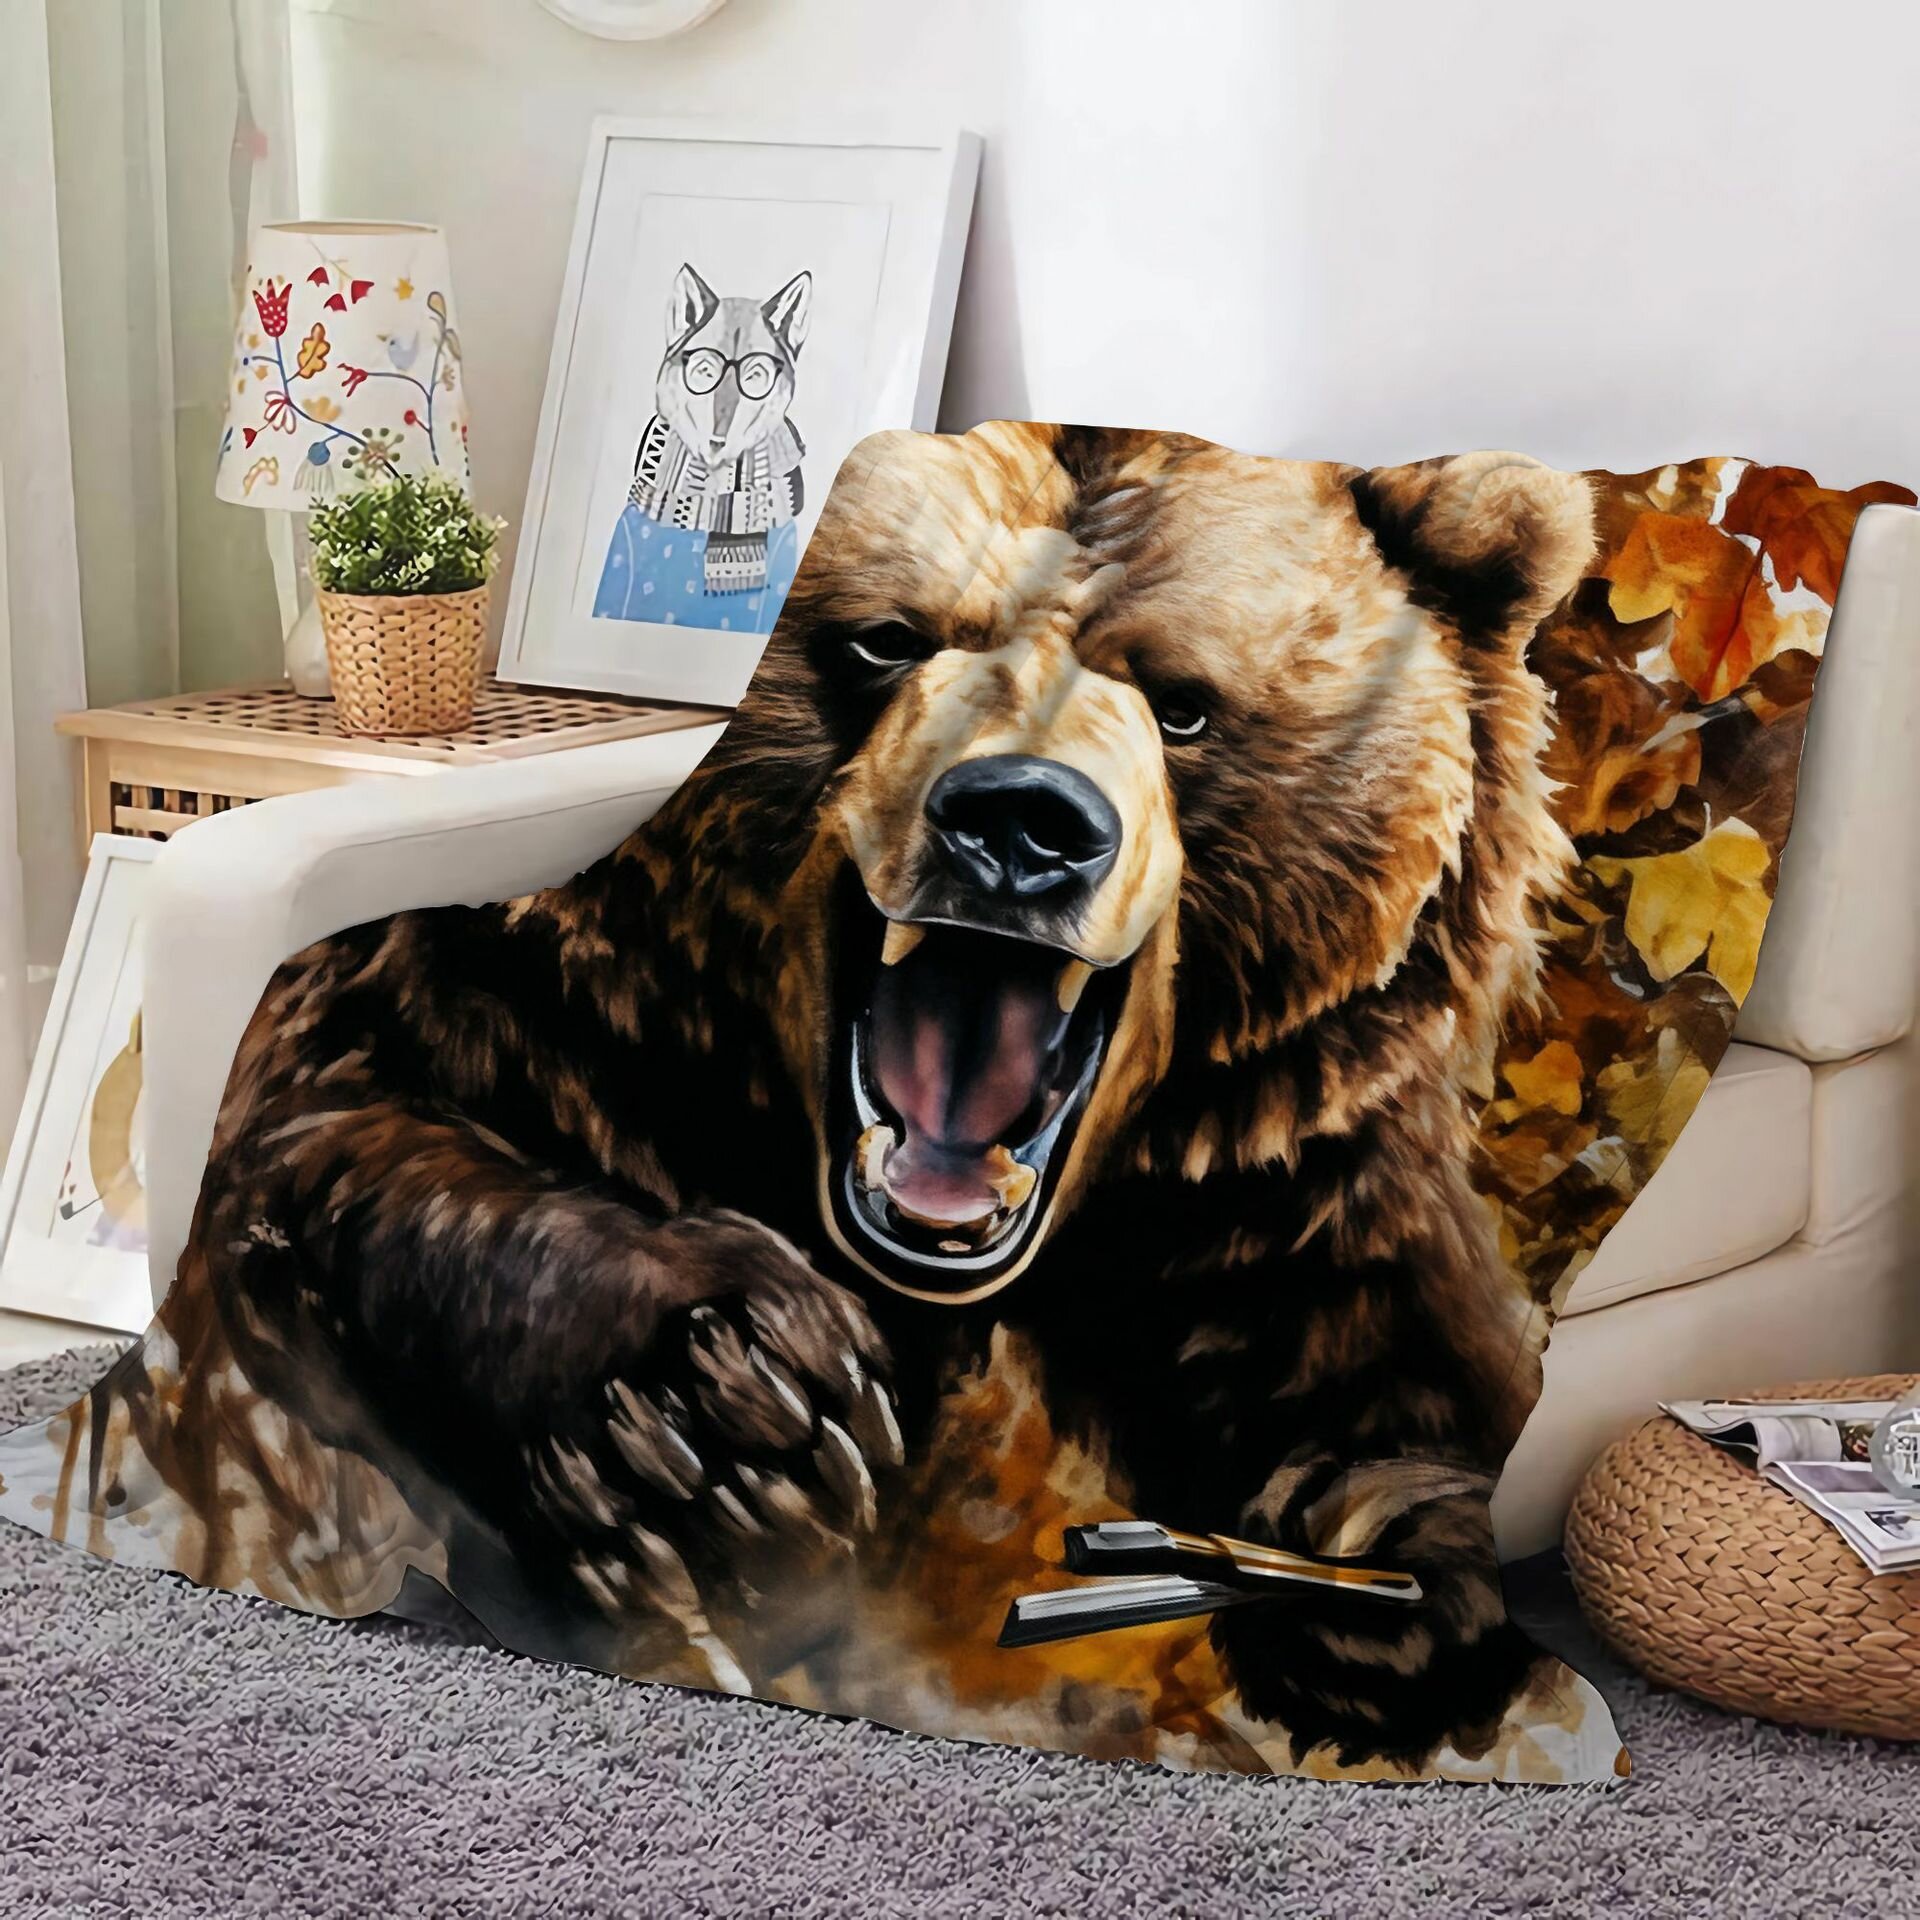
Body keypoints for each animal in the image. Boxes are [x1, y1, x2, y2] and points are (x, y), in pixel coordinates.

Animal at [35, 423, 1606, 1775]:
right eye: (883, 640)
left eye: (1183, 702)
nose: (1020, 826)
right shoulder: (516, 1013)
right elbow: (348, 1135)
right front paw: (732, 1402)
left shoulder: (1281, 1187)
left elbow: (1395, 1374)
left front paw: (1389, 1585)